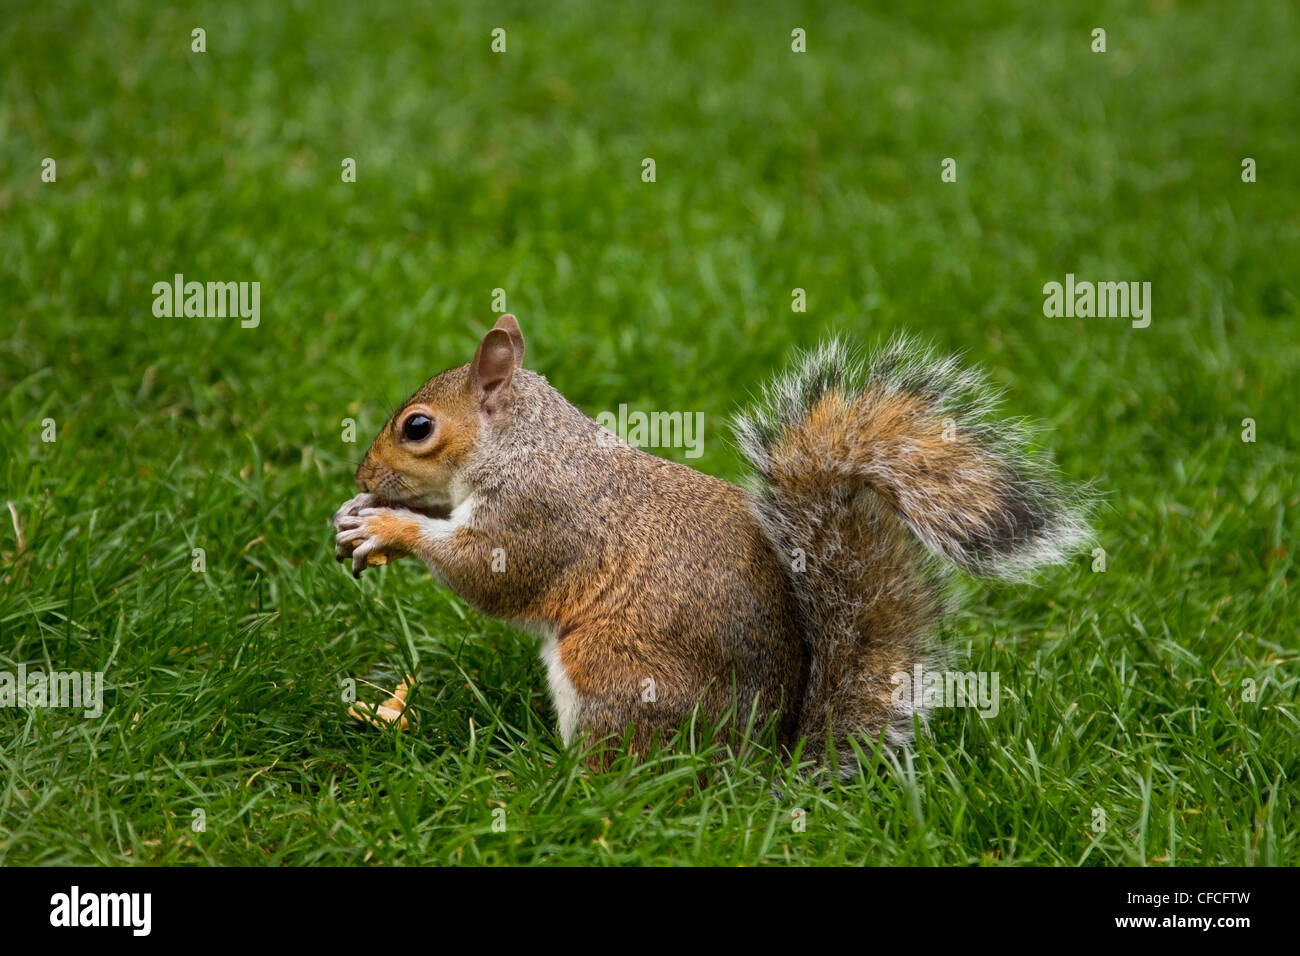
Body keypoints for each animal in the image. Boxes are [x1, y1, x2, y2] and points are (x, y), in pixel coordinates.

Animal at [333, 315, 1090, 774]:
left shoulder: (537, 517)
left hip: (612, 674)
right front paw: (359, 515)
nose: (363, 477)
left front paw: (388, 527)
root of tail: (756, 767)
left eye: (418, 427)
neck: (525, 443)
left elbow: (490, 574)